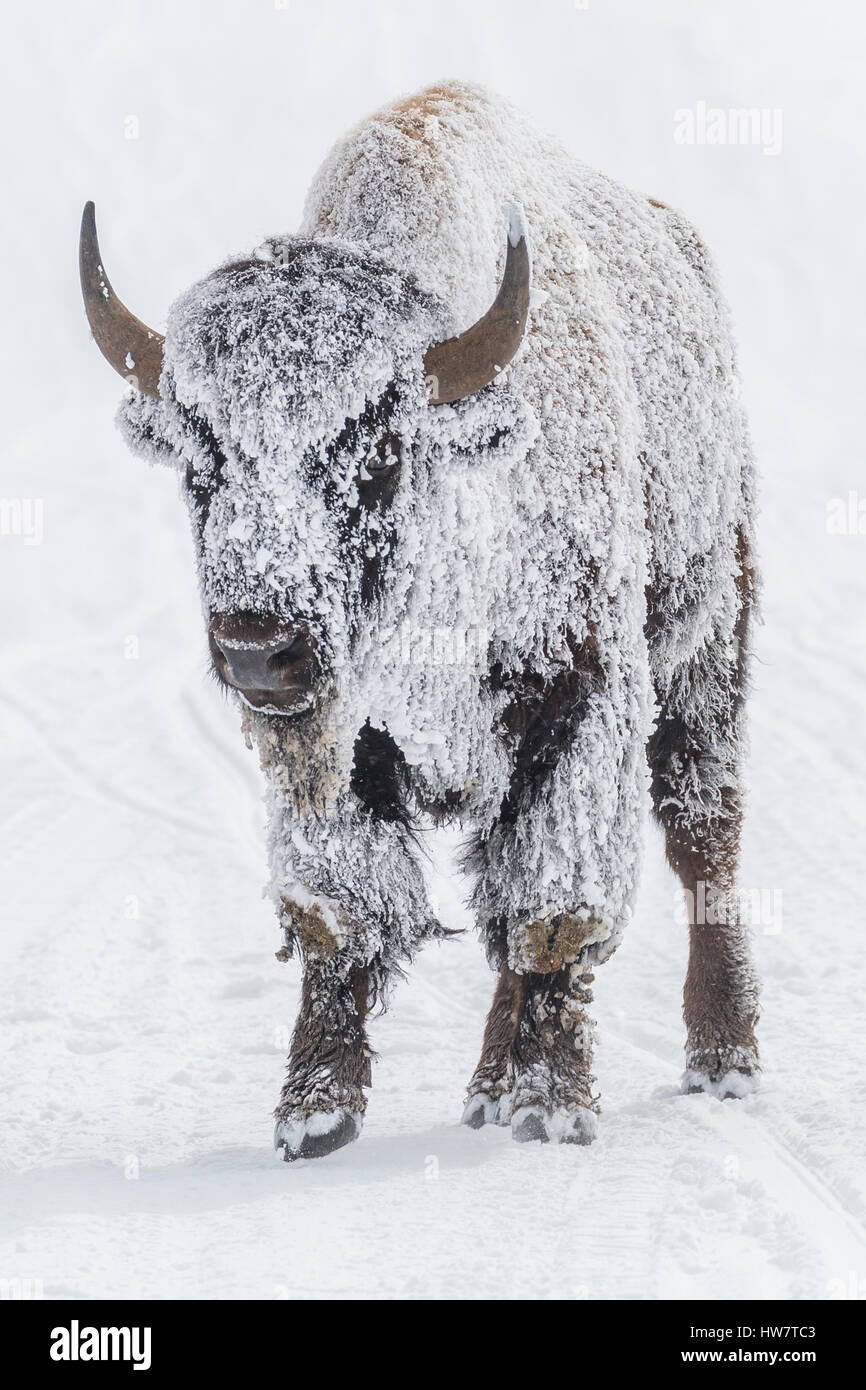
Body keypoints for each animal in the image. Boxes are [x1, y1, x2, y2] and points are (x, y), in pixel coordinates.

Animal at [80, 81, 760, 1159]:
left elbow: (553, 911)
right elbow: (343, 912)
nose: (258, 648)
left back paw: (719, 1060)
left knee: (703, 831)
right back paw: (484, 1088)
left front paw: (554, 1108)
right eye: (200, 460)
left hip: (708, 641)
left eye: (380, 451)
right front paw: (314, 1116)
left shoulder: (582, 703)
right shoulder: (340, 749)